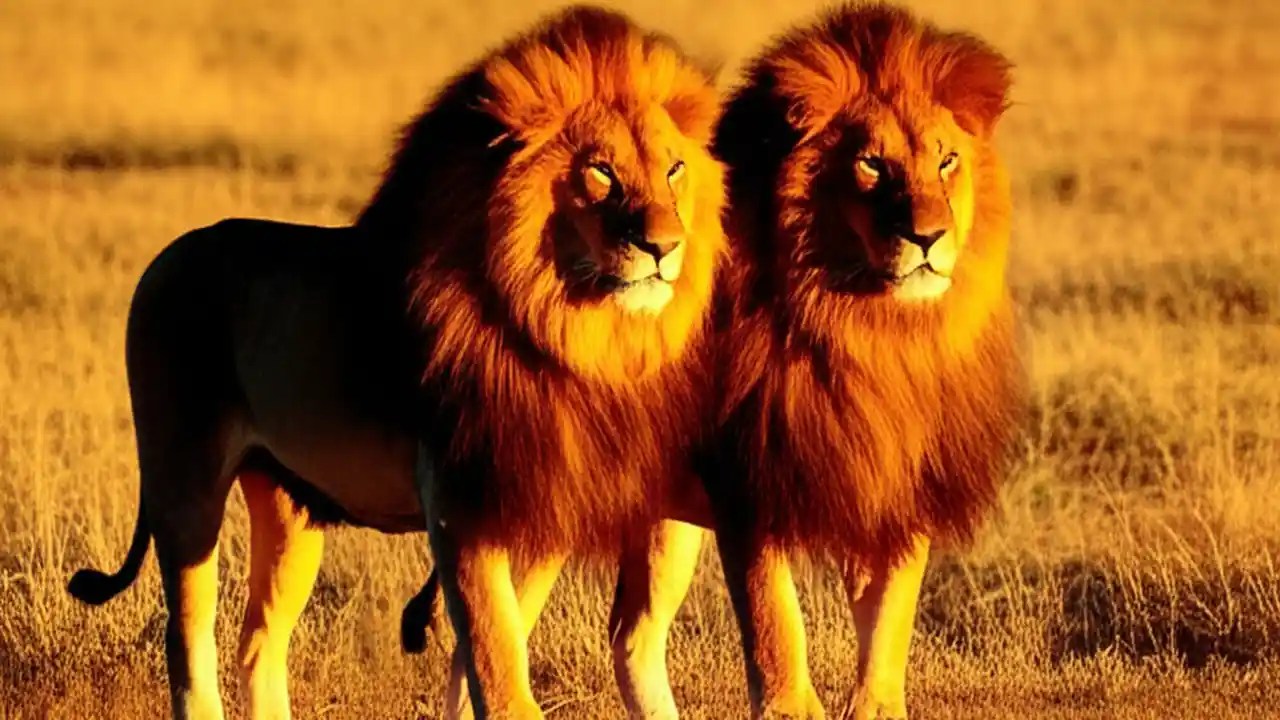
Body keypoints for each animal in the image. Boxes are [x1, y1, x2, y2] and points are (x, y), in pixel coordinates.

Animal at [66, 6, 727, 720]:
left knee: (258, 643)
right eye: (601, 172)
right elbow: (499, 668)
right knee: (188, 644)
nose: (664, 247)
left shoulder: (548, 500)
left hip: (288, 507)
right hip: (182, 484)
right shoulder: (462, 505)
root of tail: (163, 259)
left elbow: (485, 663)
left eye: (674, 170)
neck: (569, 329)